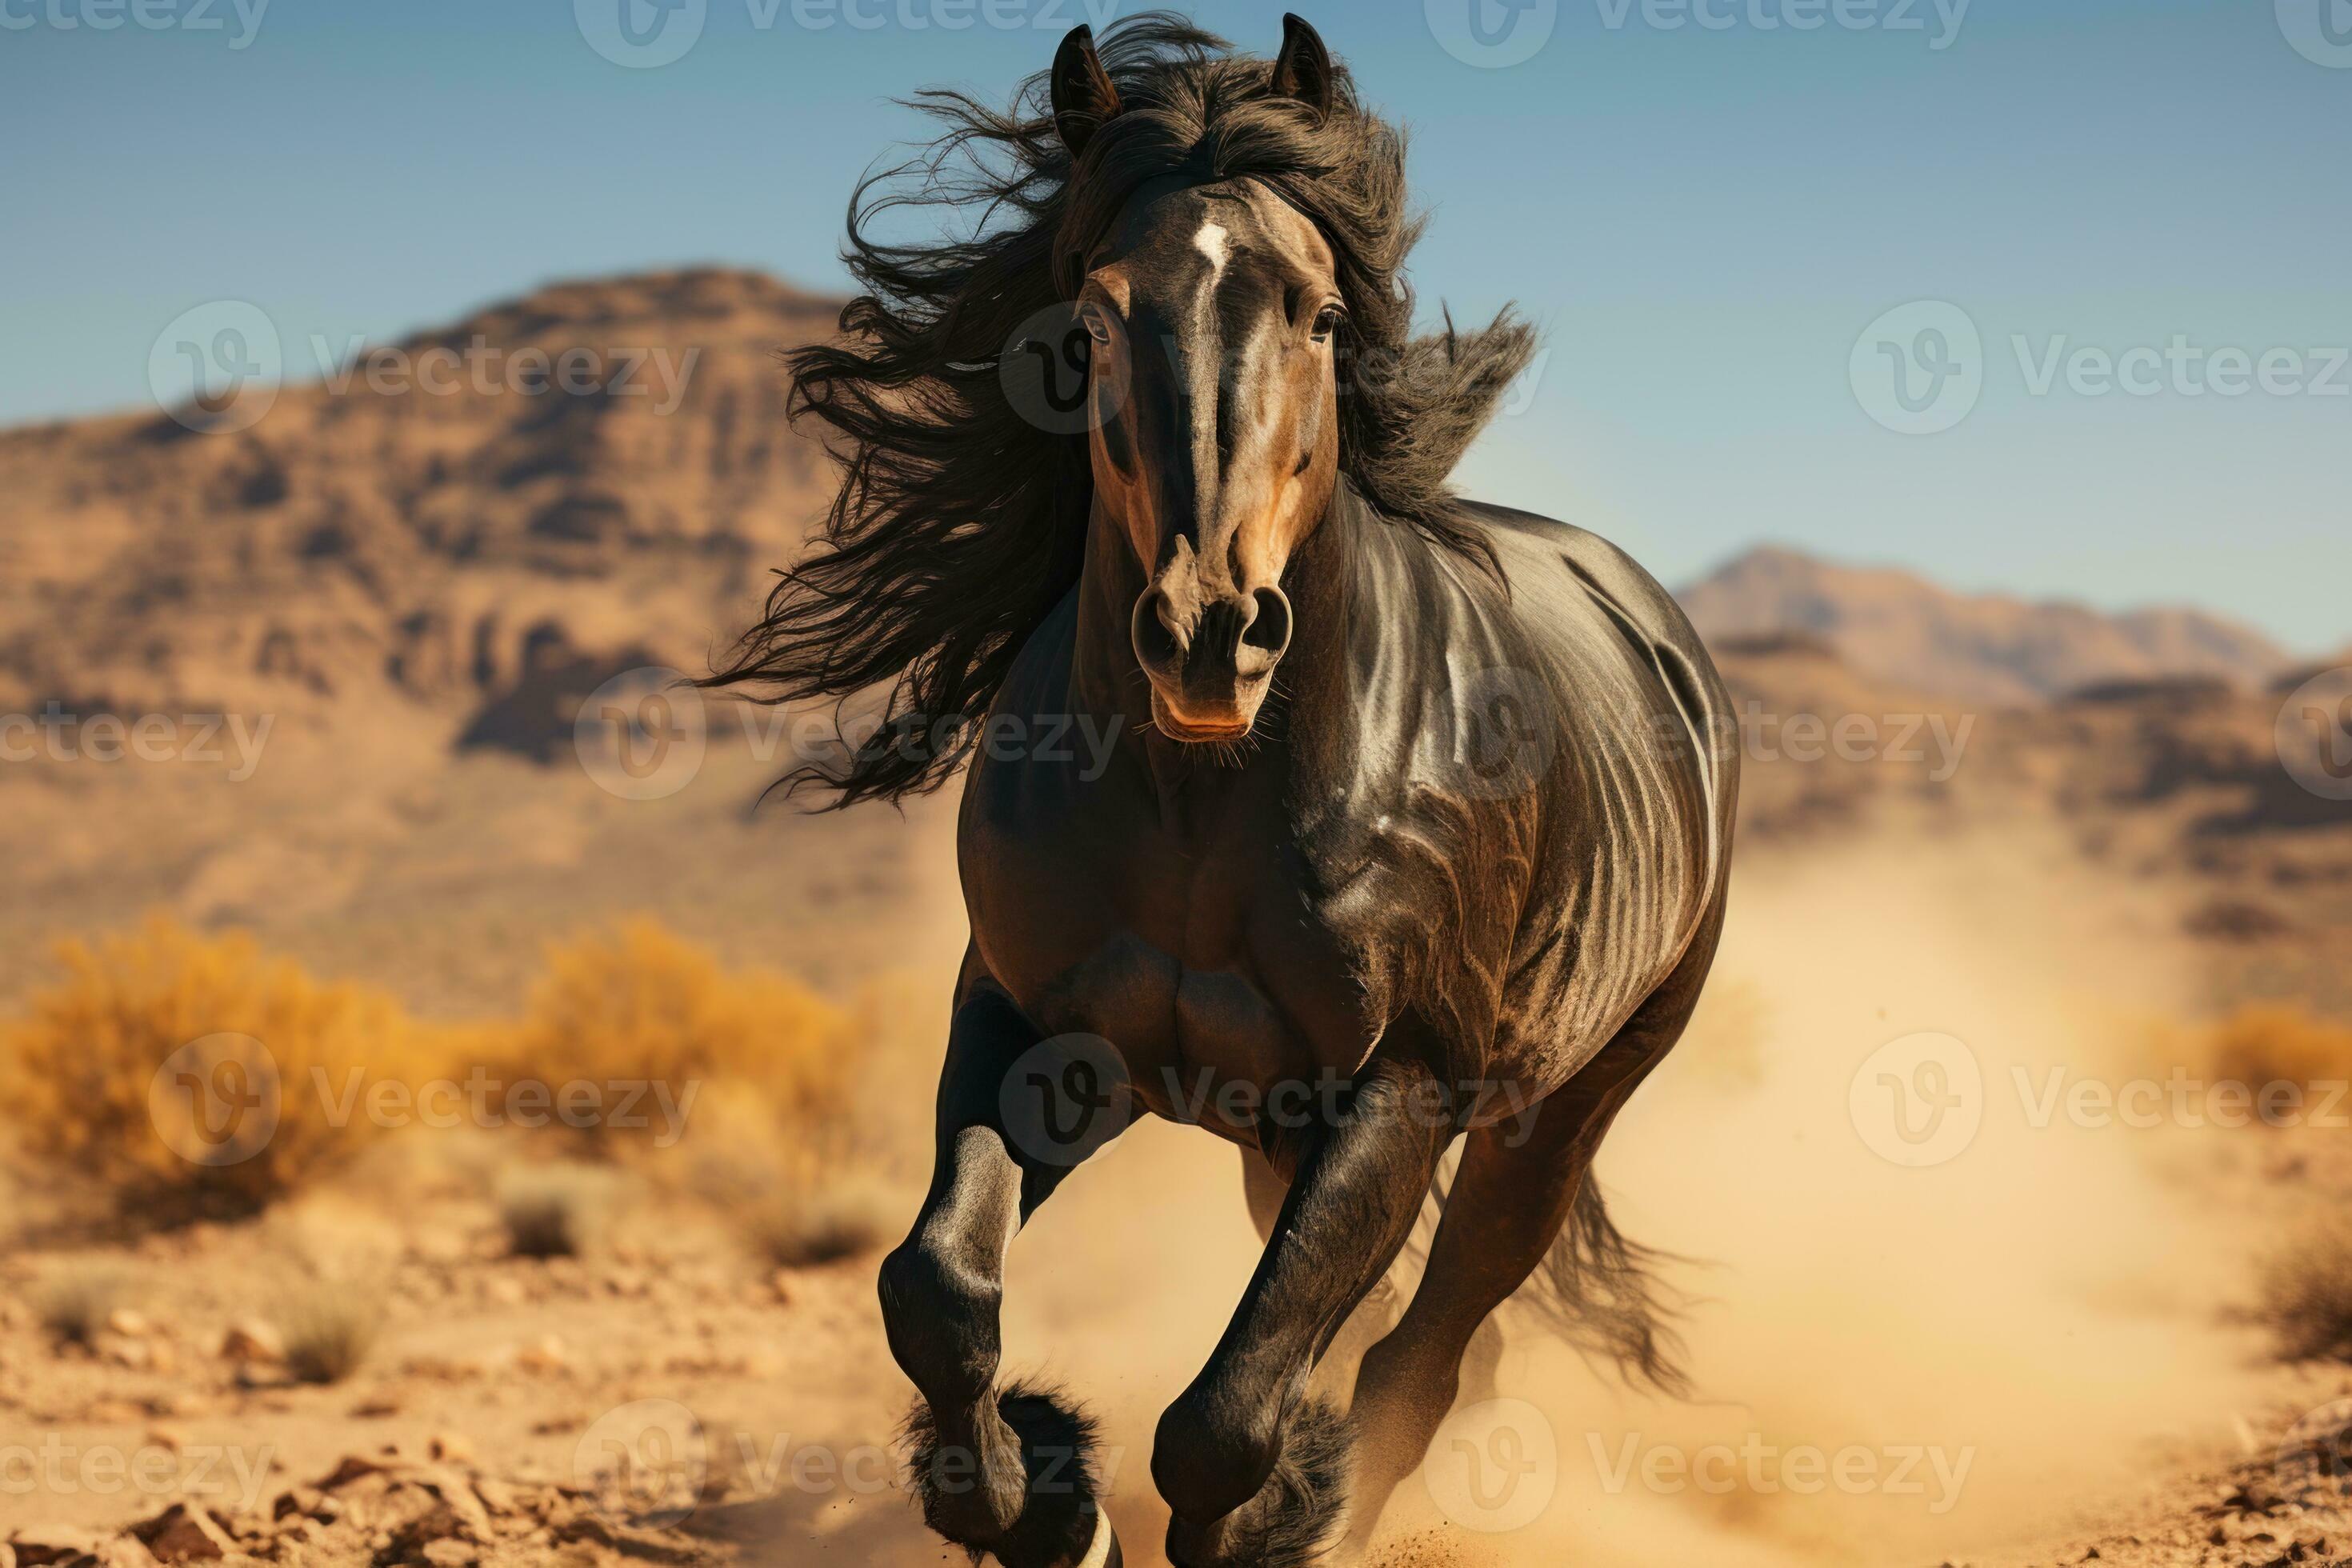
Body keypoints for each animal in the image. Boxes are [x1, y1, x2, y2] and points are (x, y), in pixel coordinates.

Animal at [707, 15, 1739, 1566]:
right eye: (1090, 320)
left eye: (1319, 314)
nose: (1211, 631)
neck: (1206, 802)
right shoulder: (1038, 1033)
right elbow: (936, 1293)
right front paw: (1041, 1497)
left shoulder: (1403, 1089)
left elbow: (1227, 1419)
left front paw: (1231, 1508)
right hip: (1275, 1141)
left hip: (1555, 1115)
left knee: (1428, 1354)